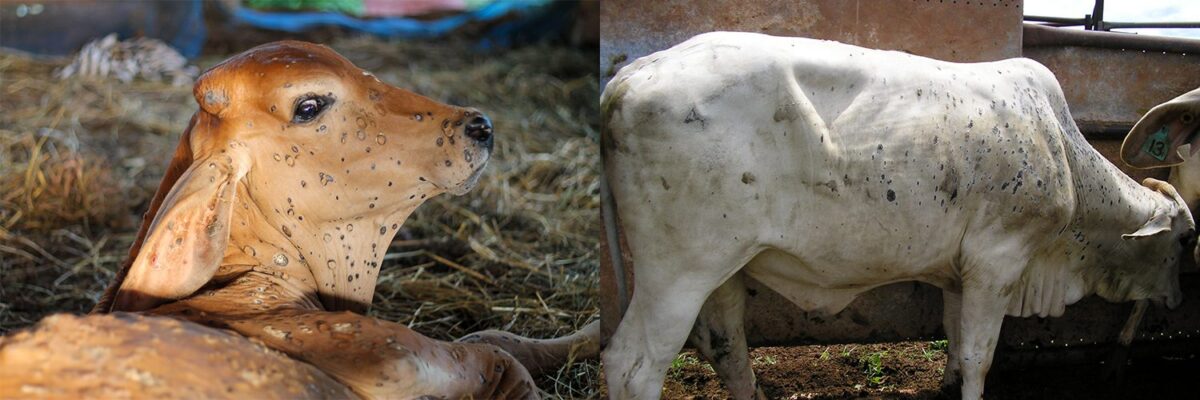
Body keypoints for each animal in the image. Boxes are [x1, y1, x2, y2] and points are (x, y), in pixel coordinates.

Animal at [600, 32, 1196, 399]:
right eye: (1185, 240)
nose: (1176, 299)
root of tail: (630, 75)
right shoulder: (999, 261)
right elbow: (979, 356)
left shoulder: (961, 272)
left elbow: (956, 340)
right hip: (678, 271)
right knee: (630, 367)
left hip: (724, 268)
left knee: (728, 348)